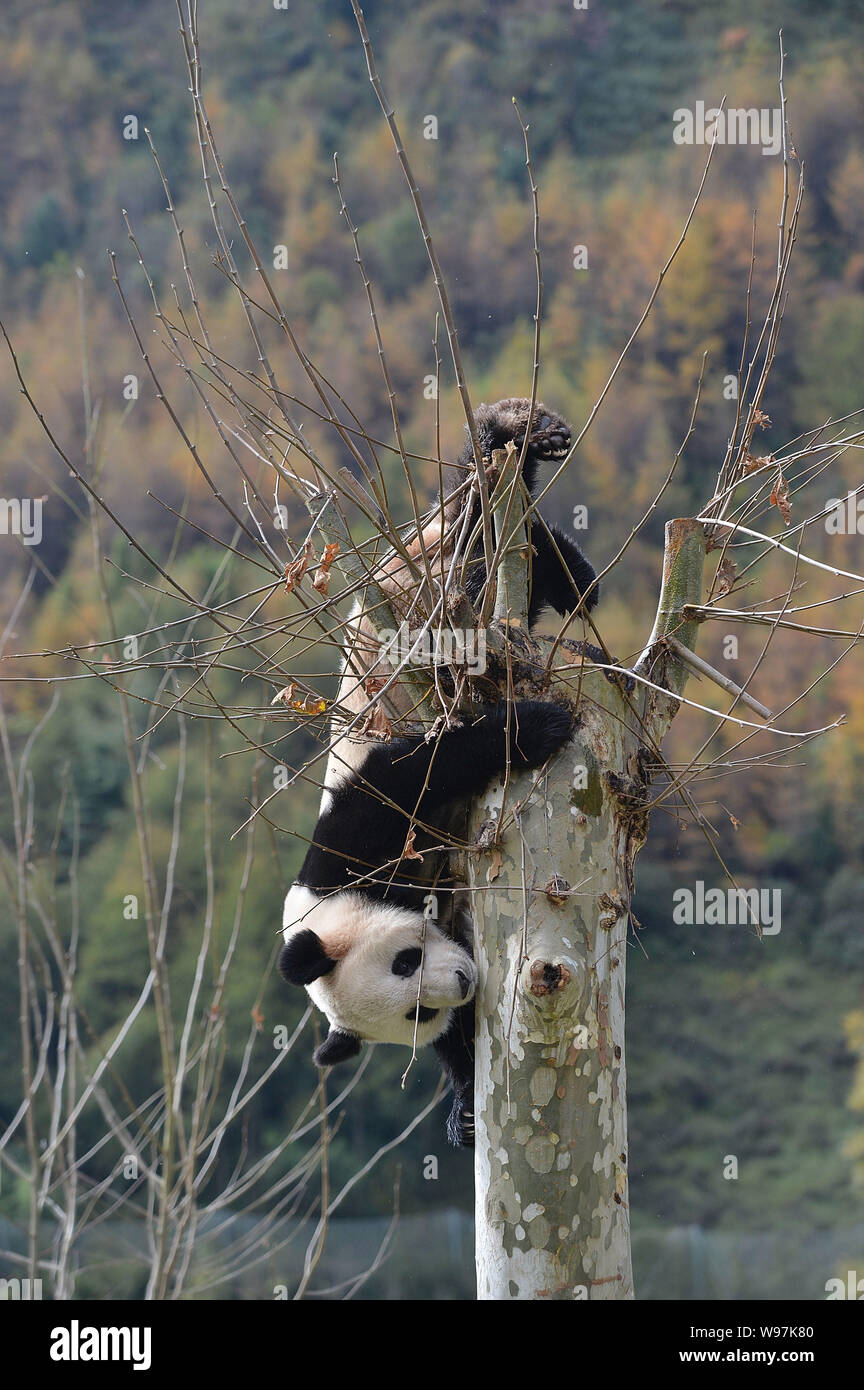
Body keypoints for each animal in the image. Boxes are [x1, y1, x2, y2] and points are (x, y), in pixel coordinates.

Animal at [279, 398, 599, 1146]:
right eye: (415, 1012)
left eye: (405, 961)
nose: (461, 984)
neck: (334, 900)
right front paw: (465, 1108)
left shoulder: (363, 823)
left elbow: (428, 767)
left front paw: (533, 729)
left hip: (429, 581)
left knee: (482, 535)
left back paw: (519, 437)